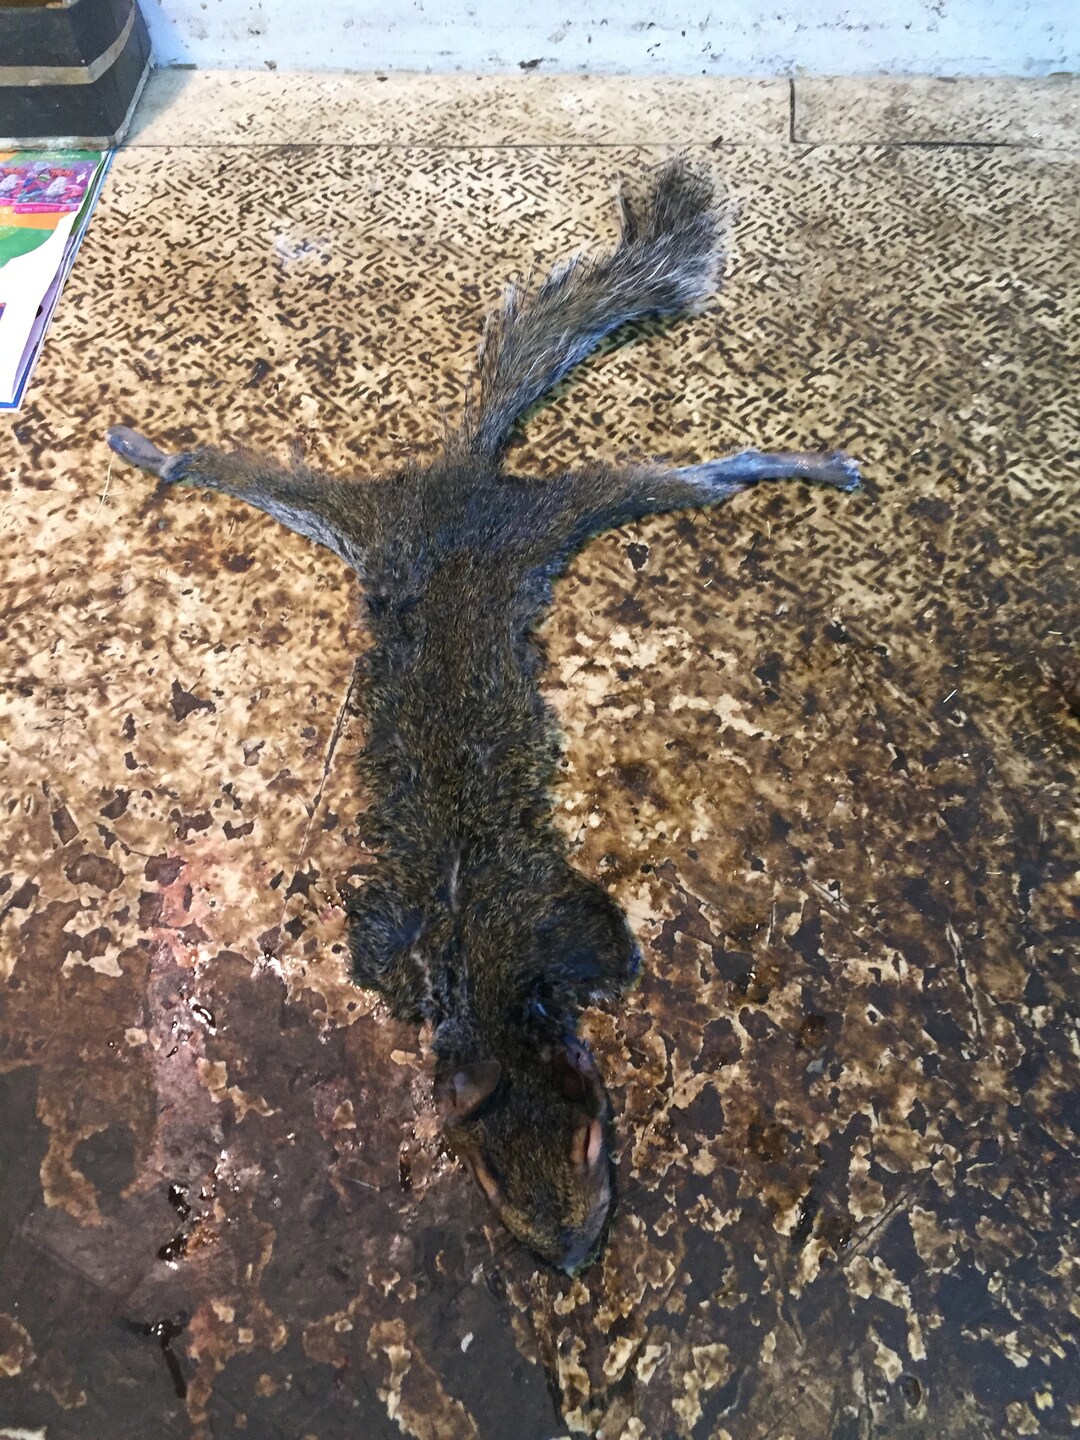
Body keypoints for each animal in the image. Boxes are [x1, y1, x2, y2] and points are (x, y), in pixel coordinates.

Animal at [106, 159, 859, 1273]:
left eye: (593, 1148)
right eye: (494, 1184)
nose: (573, 1258)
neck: (484, 965)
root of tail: (455, 493)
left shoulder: (553, 921)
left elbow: (608, 949)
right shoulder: (412, 944)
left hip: (540, 515)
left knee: (691, 477)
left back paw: (793, 463)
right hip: (375, 522)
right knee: (236, 465)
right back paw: (150, 447)